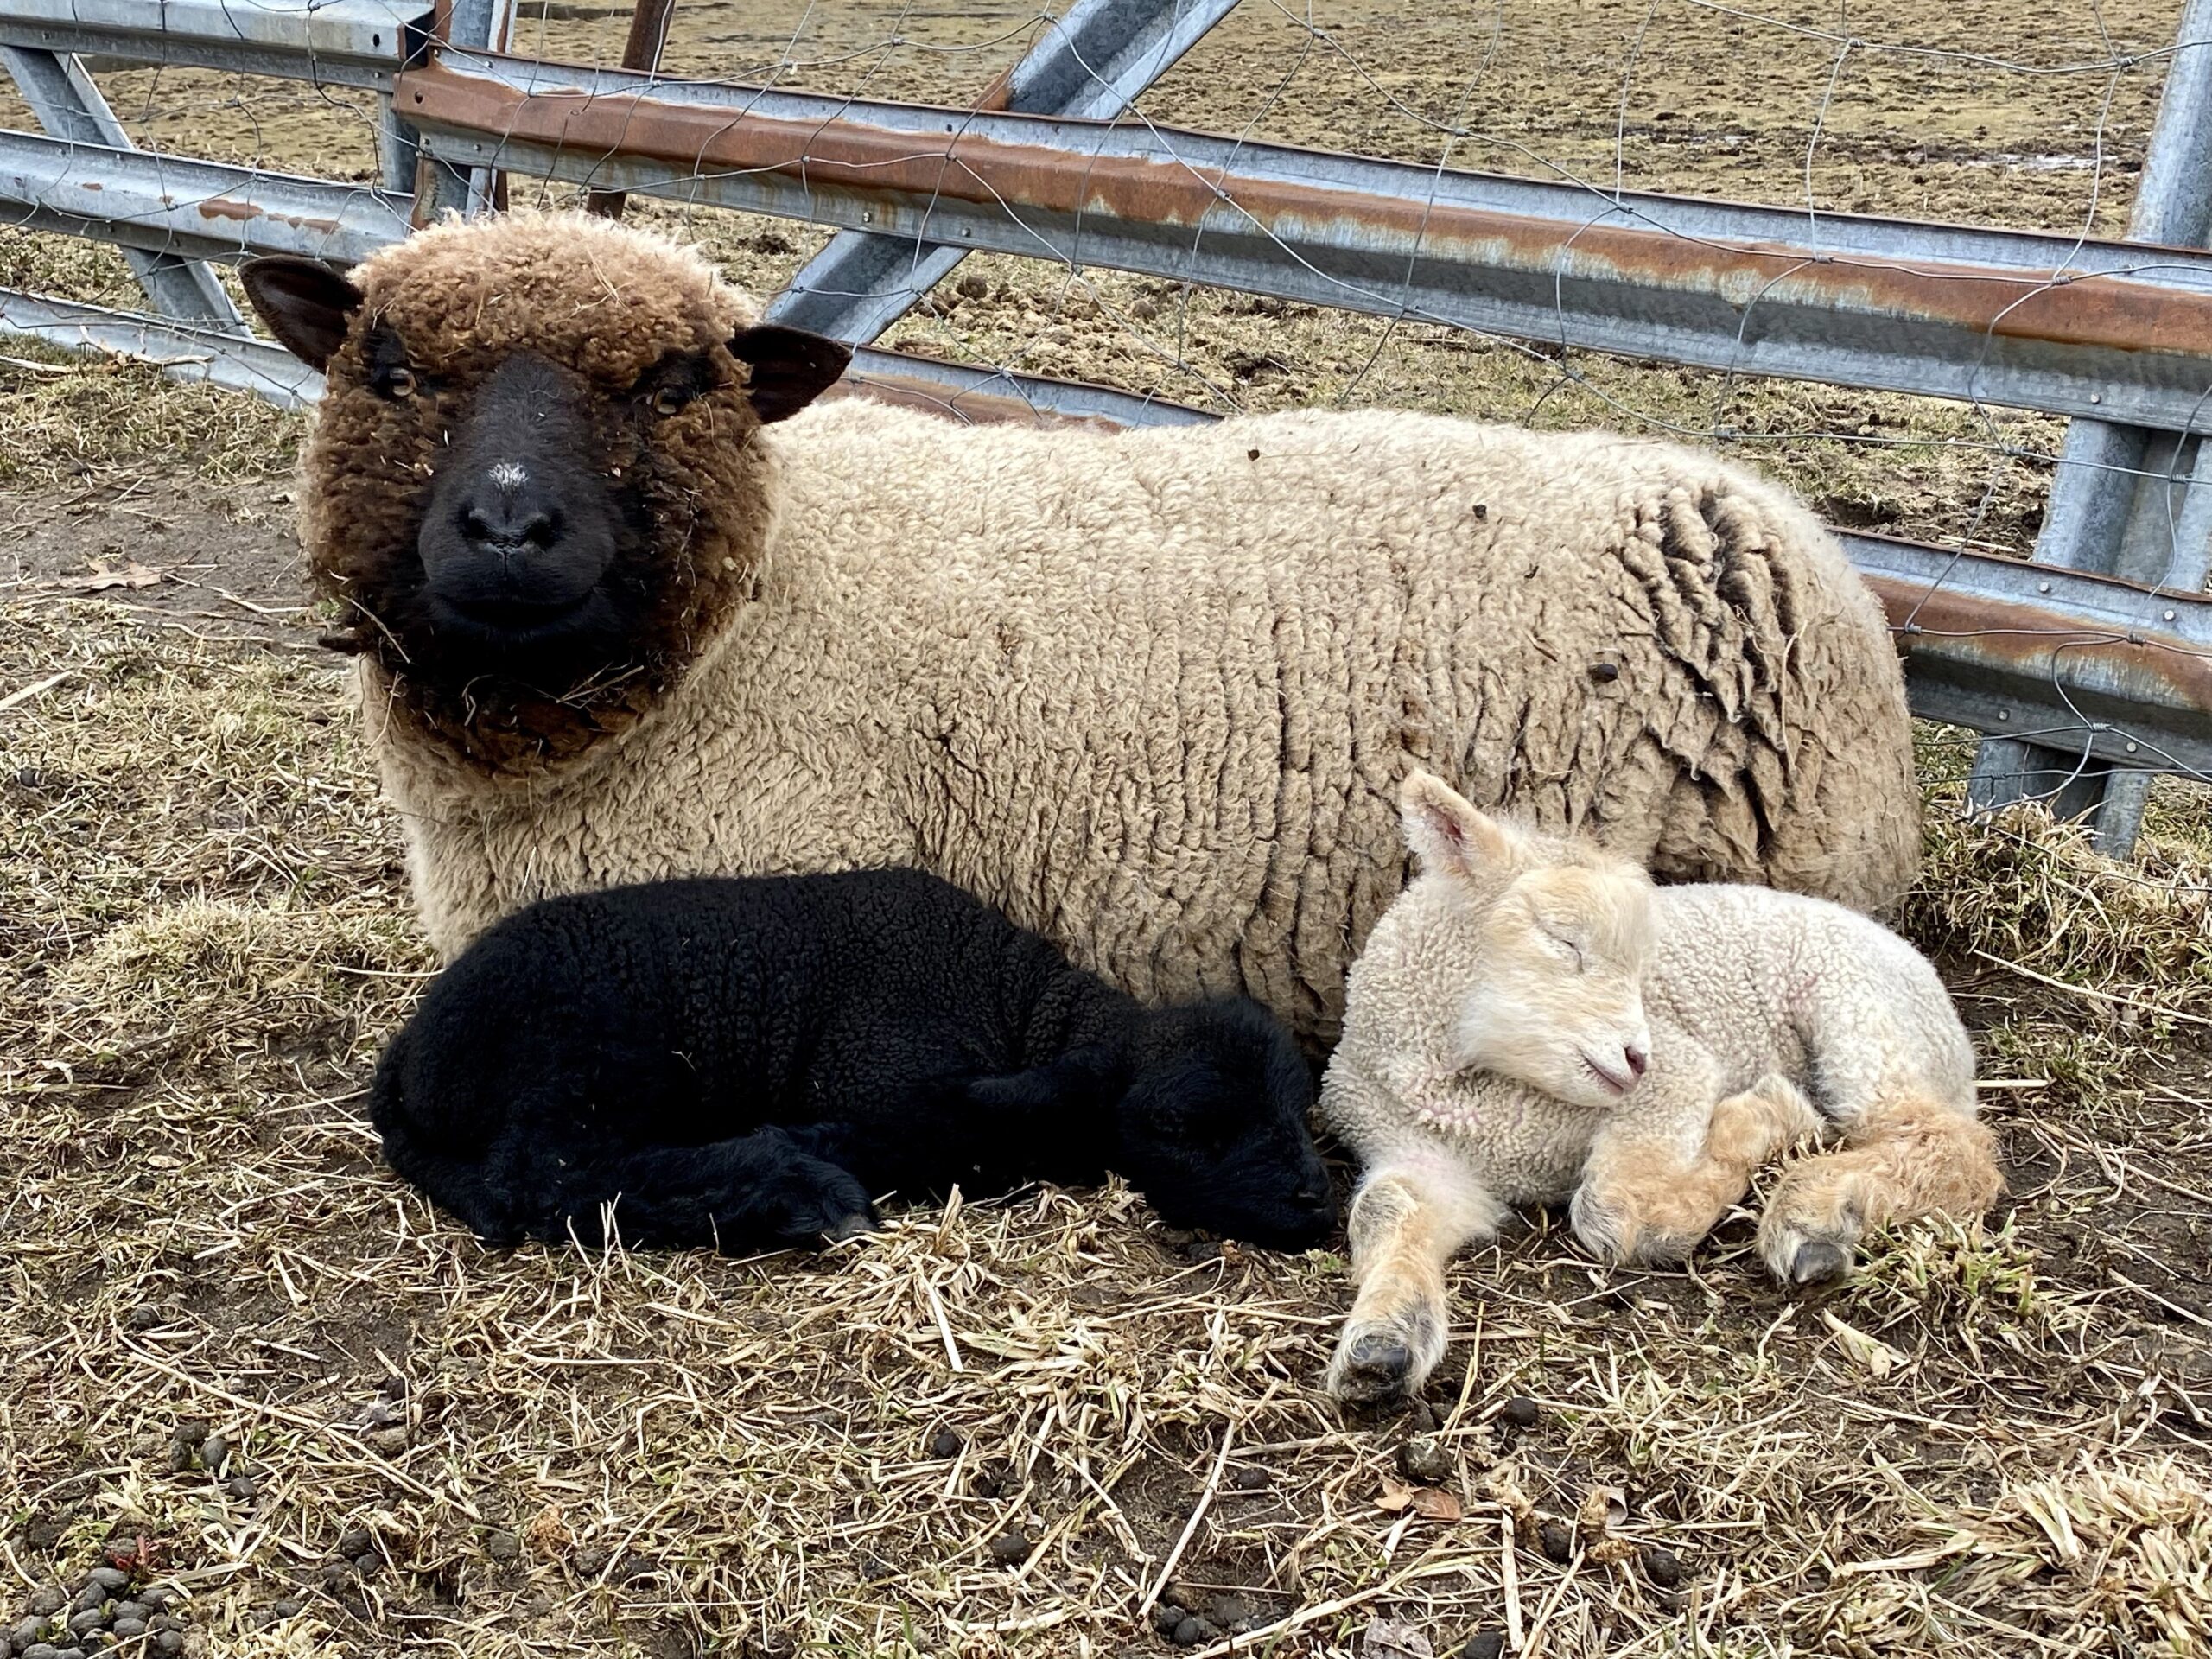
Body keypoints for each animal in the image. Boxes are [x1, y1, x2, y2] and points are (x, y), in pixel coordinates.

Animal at [370, 865, 1337, 1254]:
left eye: (1299, 1109)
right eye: (1185, 1125)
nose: (1314, 1204)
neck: (1011, 998)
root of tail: (414, 1050)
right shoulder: (879, 1068)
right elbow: (955, 1133)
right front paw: (817, 1154)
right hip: (589, 1064)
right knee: (551, 1180)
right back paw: (799, 1196)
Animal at [1319, 770, 2002, 1405]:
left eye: (1643, 968)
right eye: (1564, 941)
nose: (1636, 1056)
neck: (1480, 1094)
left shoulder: (1682, 1070)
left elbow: (1621, 1214)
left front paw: (1769, 1115)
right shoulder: (1423, 1154)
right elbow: (1386, 1207)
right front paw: (1383, 1346)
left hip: (1863, 1011)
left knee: (1953, 1145)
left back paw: (1816, 1212)